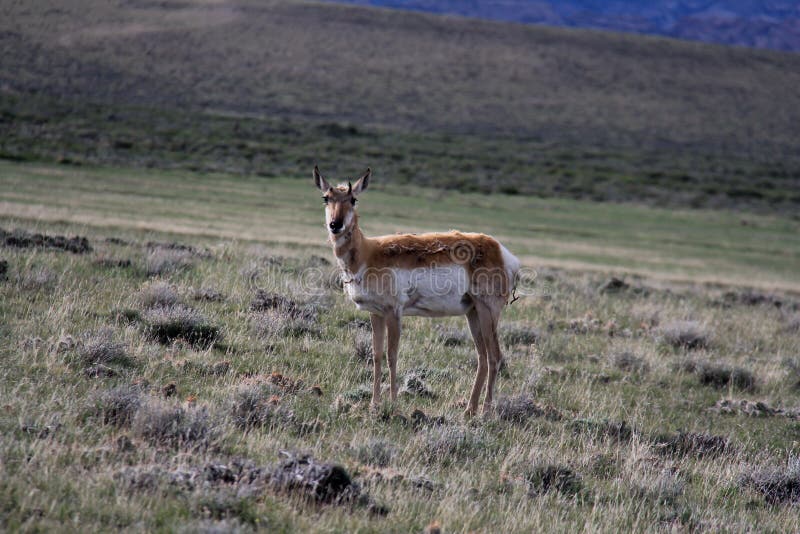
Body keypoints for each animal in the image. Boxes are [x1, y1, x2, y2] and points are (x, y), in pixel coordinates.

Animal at [314, 166, 521, 417]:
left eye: (353, 199)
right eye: (326, 198)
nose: (335, 224)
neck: (368, 252)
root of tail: (501, 251)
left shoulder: (393, 312)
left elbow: (392, 355)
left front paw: (392, 403)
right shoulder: (376, 313)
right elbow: (377, 355)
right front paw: (374, 404)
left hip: (488, 311)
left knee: (495, 356)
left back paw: (486, 411)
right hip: (473, 313)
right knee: (482, 356)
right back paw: (469, 410)